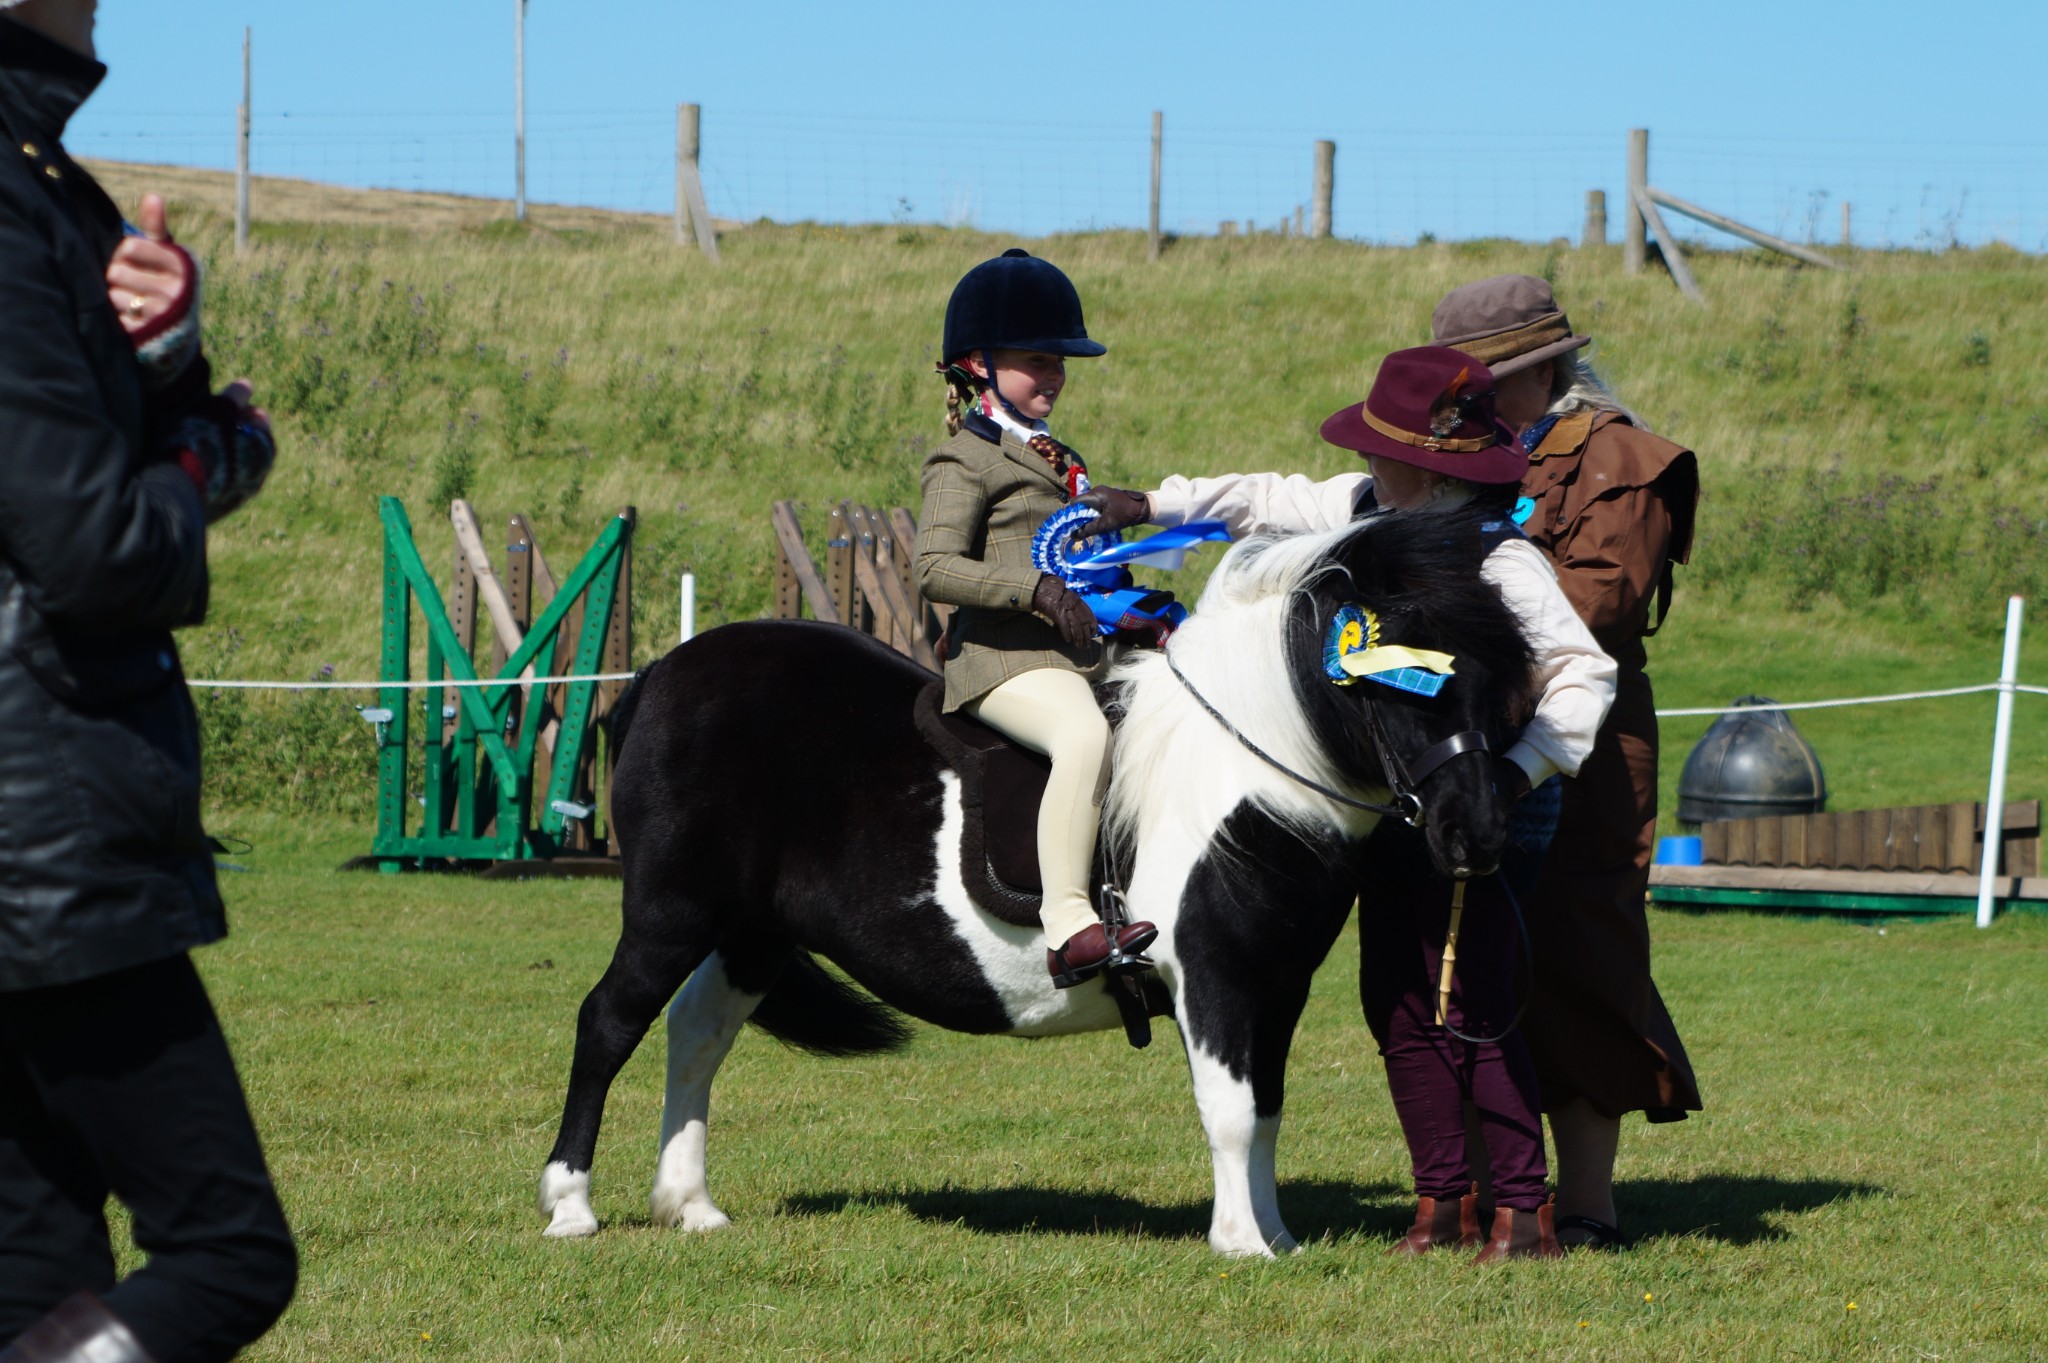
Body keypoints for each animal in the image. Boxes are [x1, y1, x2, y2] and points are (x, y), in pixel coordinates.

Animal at [538, 503, 1537, 1257]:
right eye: (1400, 681)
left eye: (1495, 679)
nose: (1480, 832)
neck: (1240, 769)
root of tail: (663, 672)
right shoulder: (1212, 976)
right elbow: (1228, 1109)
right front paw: (1242, 1245)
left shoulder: (1275, 988)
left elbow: (1266, 1110)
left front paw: (1275, 1235)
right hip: (672, 910)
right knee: (607, 1024)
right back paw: (571, 1204)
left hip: (751, 932)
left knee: (695, 1036)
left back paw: (691, 1205)